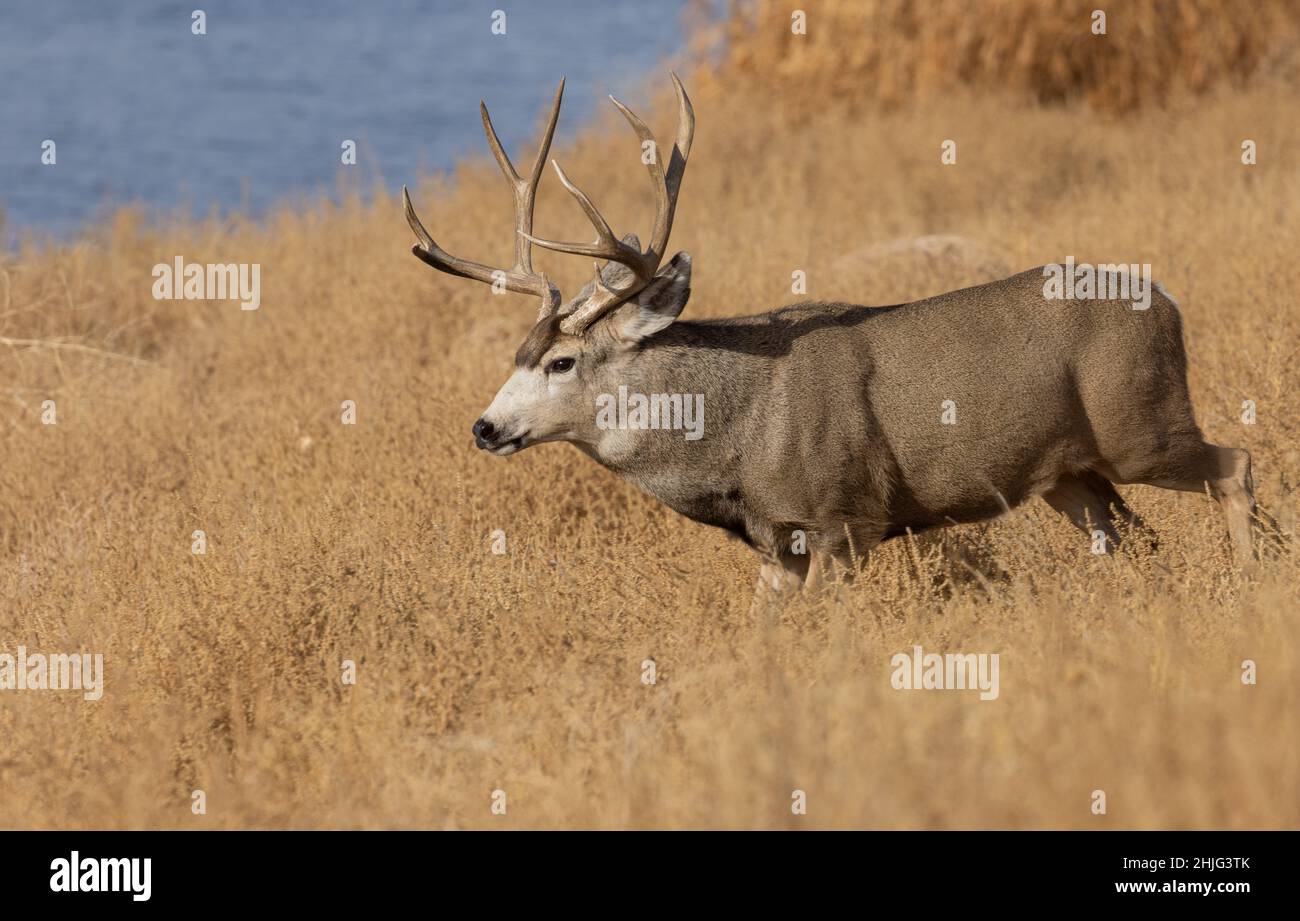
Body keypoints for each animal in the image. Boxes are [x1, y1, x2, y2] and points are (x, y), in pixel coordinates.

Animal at [403, 75, 1259, 611]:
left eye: (562, 360)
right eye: (516, 355)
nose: (485, 427)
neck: (737, 433)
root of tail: (1167, 300)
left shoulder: (845, 518)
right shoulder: (778, 545)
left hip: (1139, 426)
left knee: (1236, 464)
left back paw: (1259, 577)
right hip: (1072, 475)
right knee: (1139, 538)